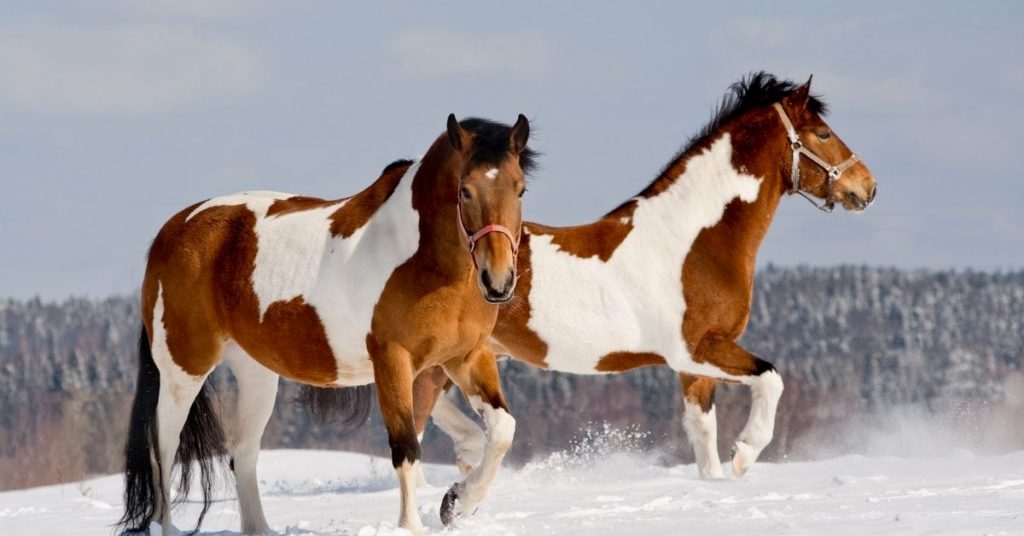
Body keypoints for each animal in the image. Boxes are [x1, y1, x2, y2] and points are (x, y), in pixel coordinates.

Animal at [117, 113, 536, 535]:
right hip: (183, 369)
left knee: (242, 452)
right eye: (465, 191)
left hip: (255, 373)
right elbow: (405, 447)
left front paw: (457, 504)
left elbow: (503, 429)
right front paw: (412, 525)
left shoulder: (466, 357)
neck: (423, 260)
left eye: (521, 189)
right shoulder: (393, 361)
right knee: (163, 450)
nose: (499, 282)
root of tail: (170, 233)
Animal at [412, 73, 877, 481]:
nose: (867, 187)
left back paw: (468, 454)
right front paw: (745, 453)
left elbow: (704, 438)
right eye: (823, 134)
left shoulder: (695, 371)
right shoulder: (696, 349)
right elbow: (771, 377)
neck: (693, 240)